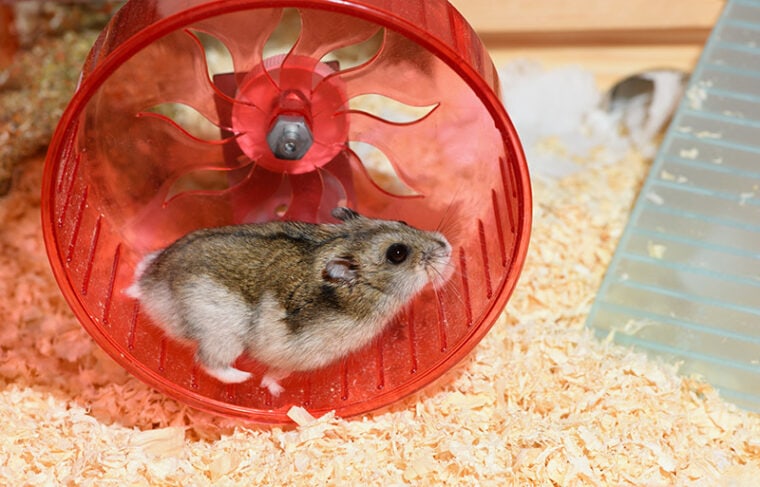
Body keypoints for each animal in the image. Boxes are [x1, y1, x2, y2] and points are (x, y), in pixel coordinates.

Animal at [125, 207, 452, 396]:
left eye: (403, 219)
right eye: (397, 253)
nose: (447, 247)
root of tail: (151, 289)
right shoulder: (301, 354)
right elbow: (278, 371)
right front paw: (272, 388)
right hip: (222, 337)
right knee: (208, 362)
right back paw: (244, 378)